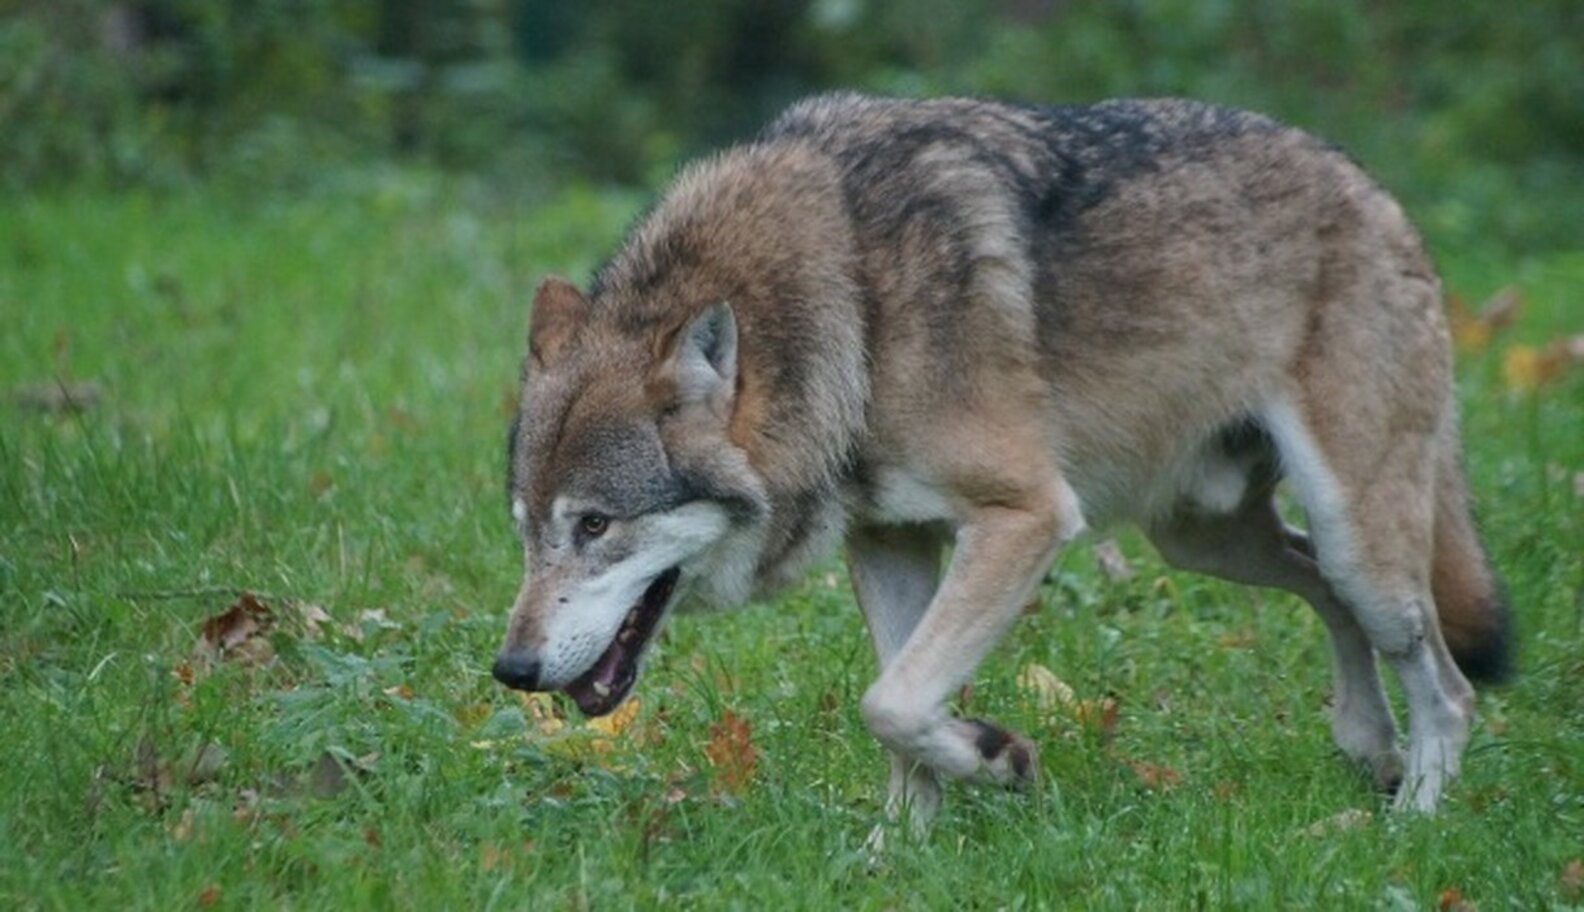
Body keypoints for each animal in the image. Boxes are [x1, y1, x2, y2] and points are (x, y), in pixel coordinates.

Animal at [492, 92, 1511, 824]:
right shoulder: (890, 542)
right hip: (1206, 540)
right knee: (1325, 592)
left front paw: (999, 759)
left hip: (1353, 536)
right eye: (525, 532)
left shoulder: (1026, 516)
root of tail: (1376, 192)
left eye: (595, 524)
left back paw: (1413, 823)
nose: (510, 670)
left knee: (1450, 688)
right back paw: (1369, 747)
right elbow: (897, 710)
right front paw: (895, 853)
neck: (854, 315)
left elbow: (892, 702)